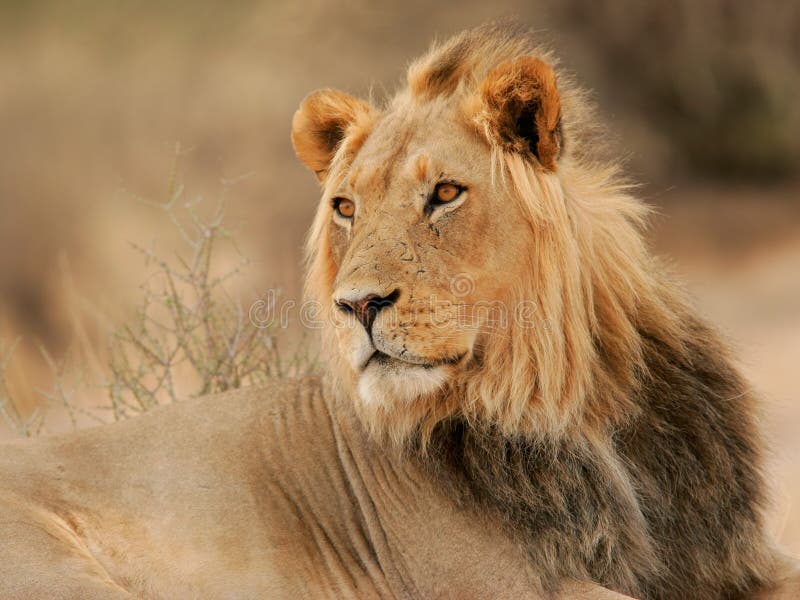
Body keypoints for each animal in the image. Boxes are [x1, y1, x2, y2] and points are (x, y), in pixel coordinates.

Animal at [0, 22, 797, 599]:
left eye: (444, 193)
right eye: (346, 207)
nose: (357, 305)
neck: (573, 399)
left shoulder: (729, 562)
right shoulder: (495, 588)